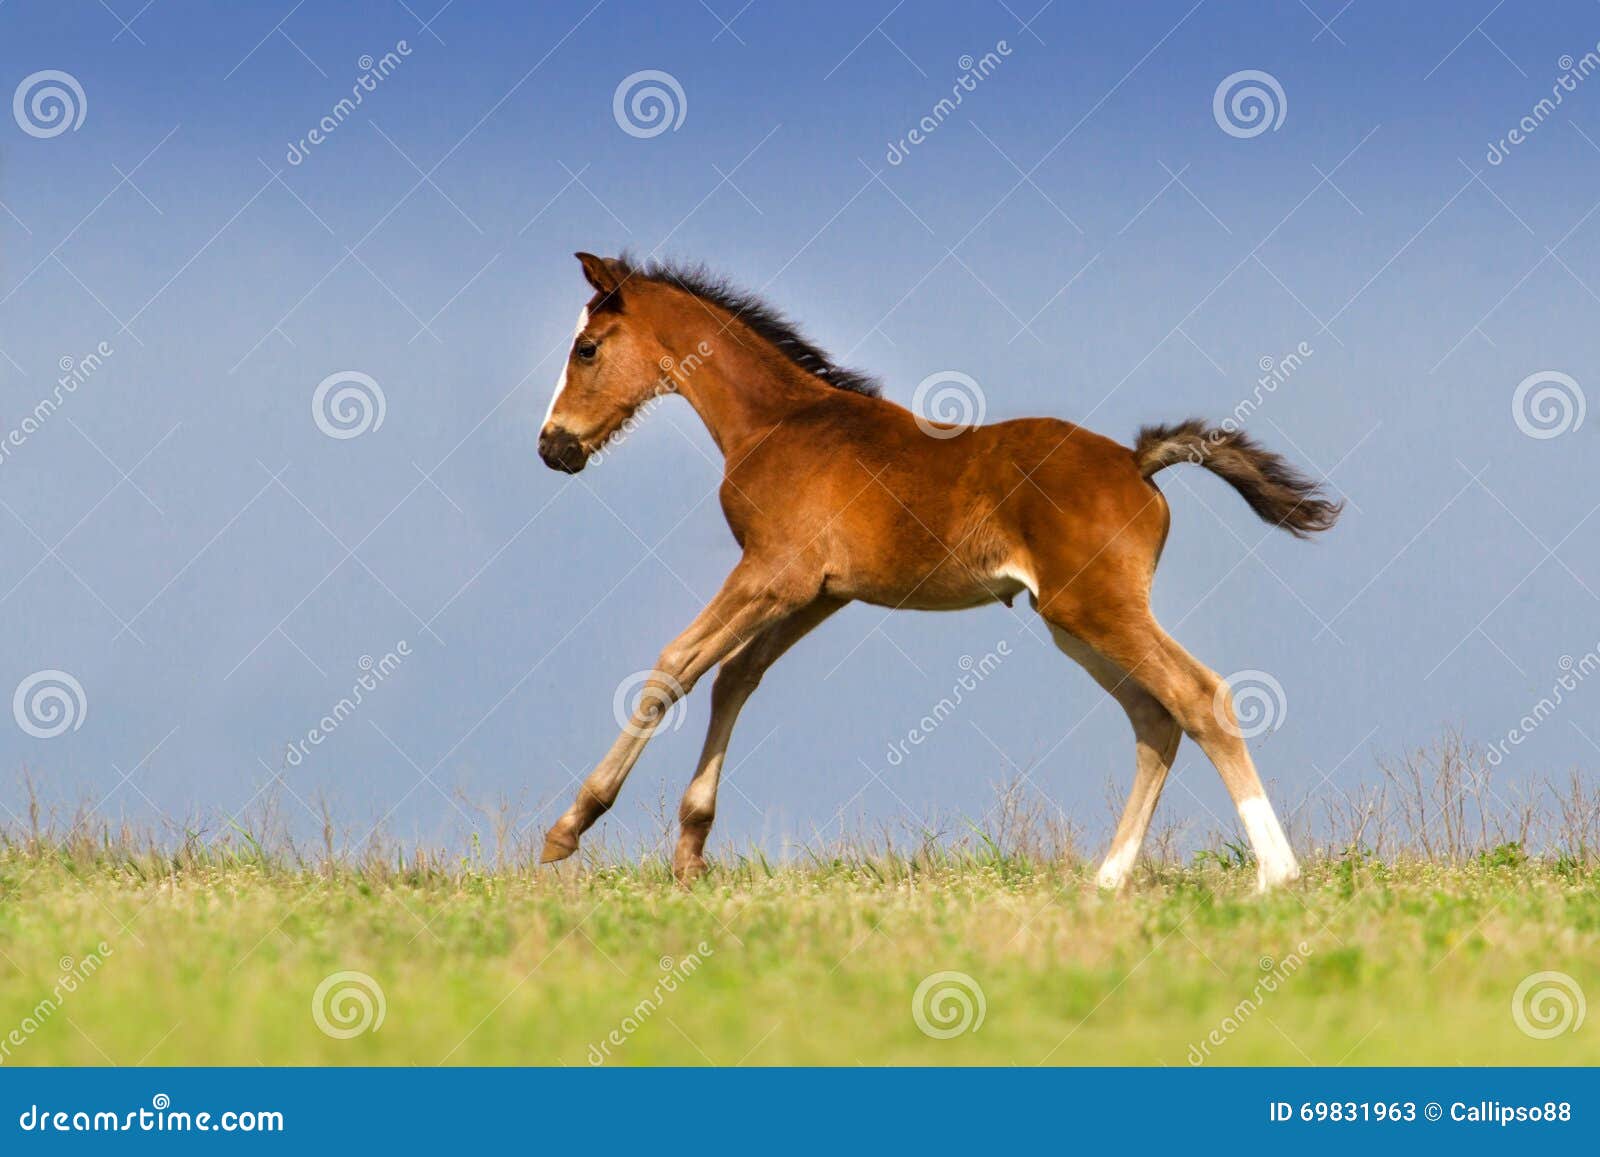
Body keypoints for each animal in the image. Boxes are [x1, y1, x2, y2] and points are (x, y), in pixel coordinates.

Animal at [536, 252, 1340, 892]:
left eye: (587, 349)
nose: (553, 447)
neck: (776, 424)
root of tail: (1136, 462)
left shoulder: (773, 573)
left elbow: (675, 666)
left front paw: (570, 826)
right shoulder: (817, 595)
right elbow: (734, 677)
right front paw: (690, 850)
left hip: (1098, 608)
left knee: (1201, 697)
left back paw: (1276, 873)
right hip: (1075, 621)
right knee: (1154, 716)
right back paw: (1108, 880)